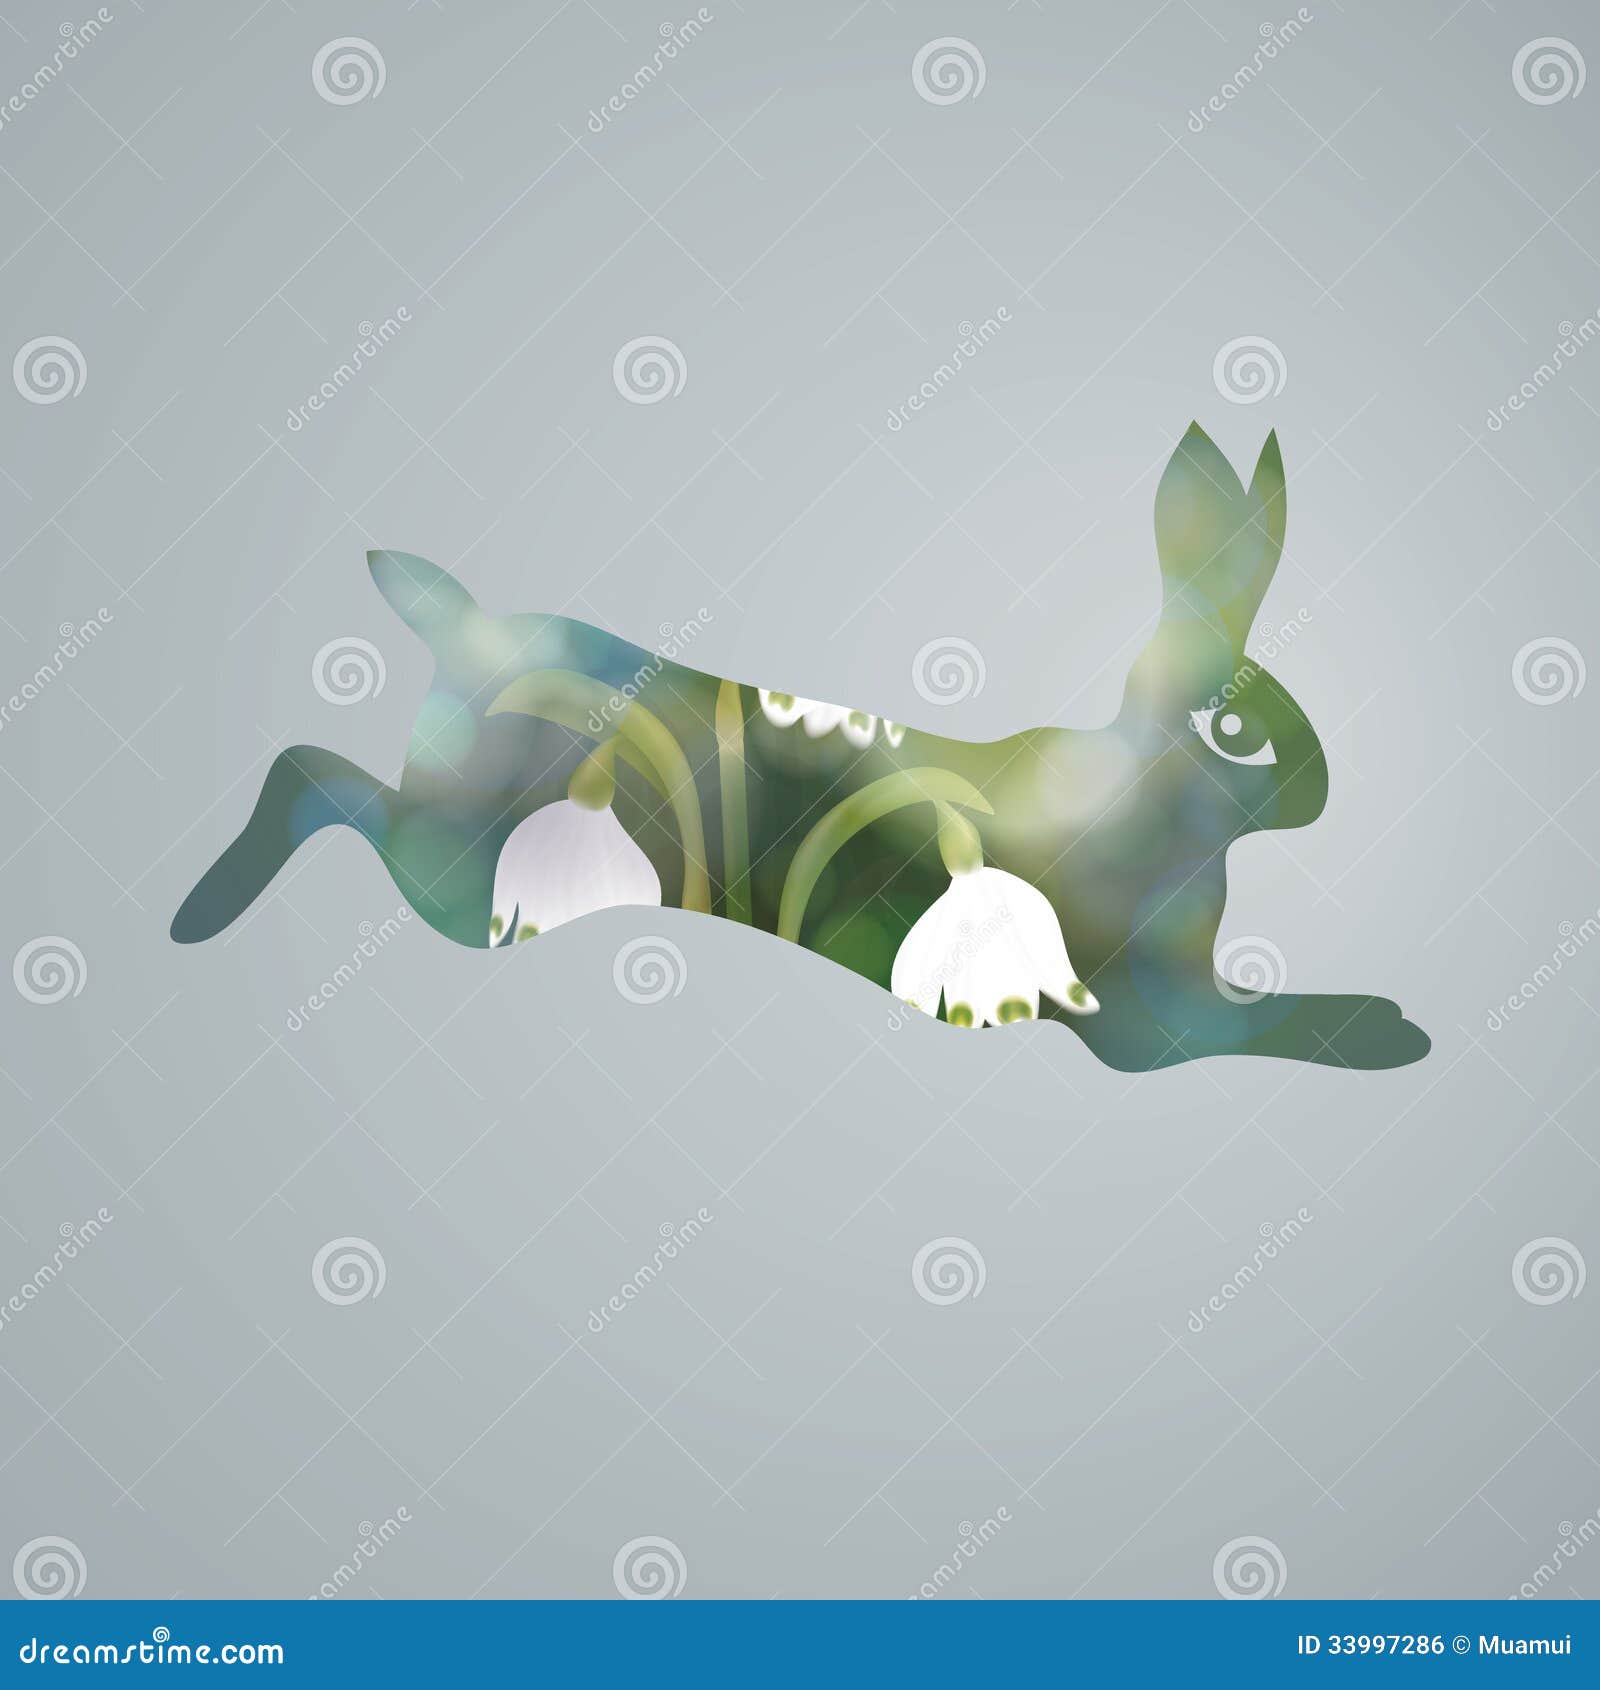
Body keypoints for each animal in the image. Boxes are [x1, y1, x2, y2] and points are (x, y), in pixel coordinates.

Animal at [172, 423, 1429, 1071]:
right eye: (1235, 727)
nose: (1318, 795)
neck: (1142, 789)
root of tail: (471, 636)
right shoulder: (1146, 1022)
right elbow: (1264, 1023)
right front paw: (1388, 1033)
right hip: (460, 869)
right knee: (315, 780)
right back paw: (198, 914)